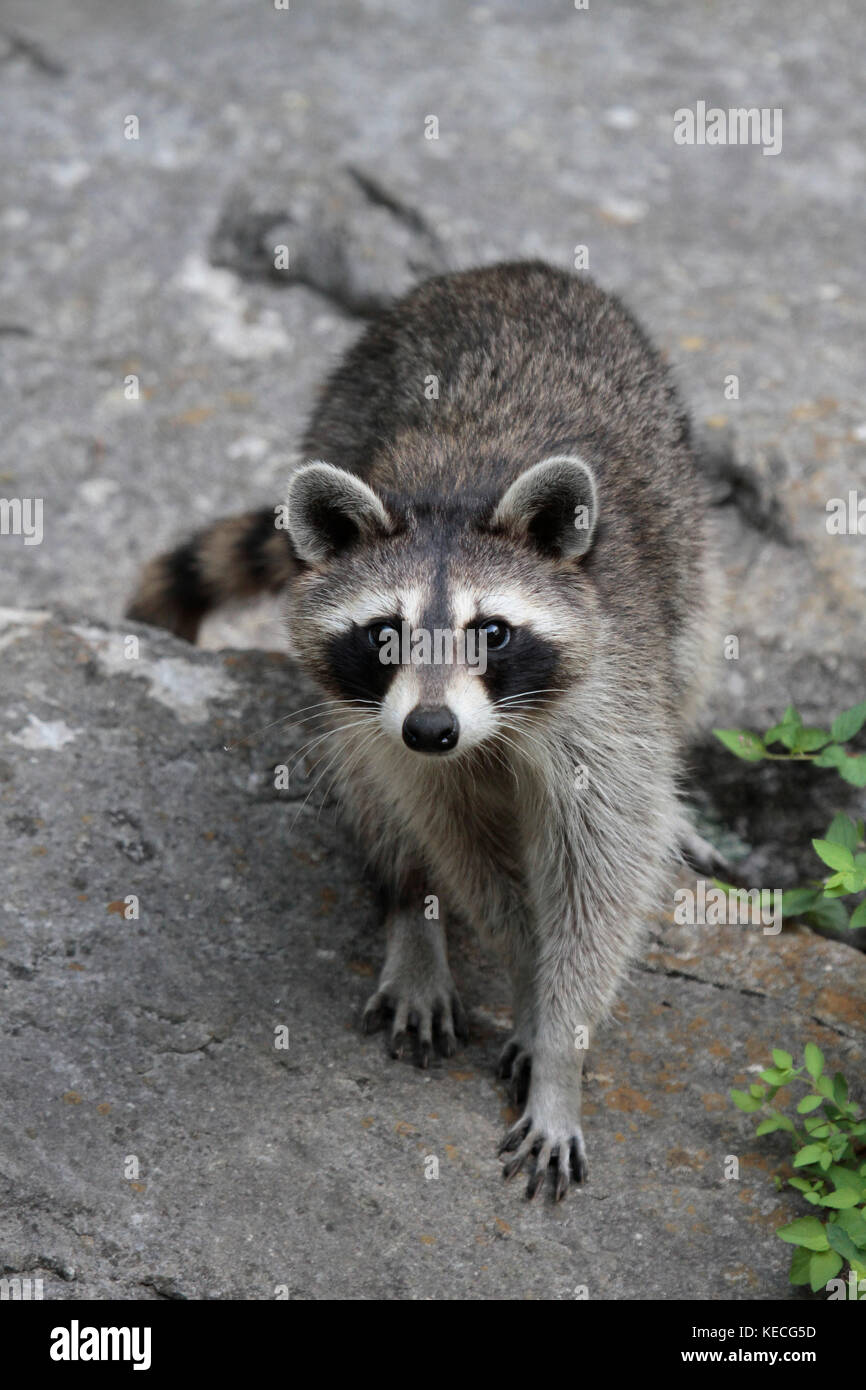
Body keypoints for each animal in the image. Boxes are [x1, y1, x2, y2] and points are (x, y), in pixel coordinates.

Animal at [128, 261, 715, 1200]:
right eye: (385, 635)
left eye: (491, 632)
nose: (434, 727)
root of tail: (503, 270)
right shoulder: (397, 731)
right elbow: (469, 857)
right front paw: (518, 977)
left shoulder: (608, 691)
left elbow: (601, 876)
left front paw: (561, 1046)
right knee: (369, 779)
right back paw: (409, 908)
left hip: (685, 532)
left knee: (692, 653)